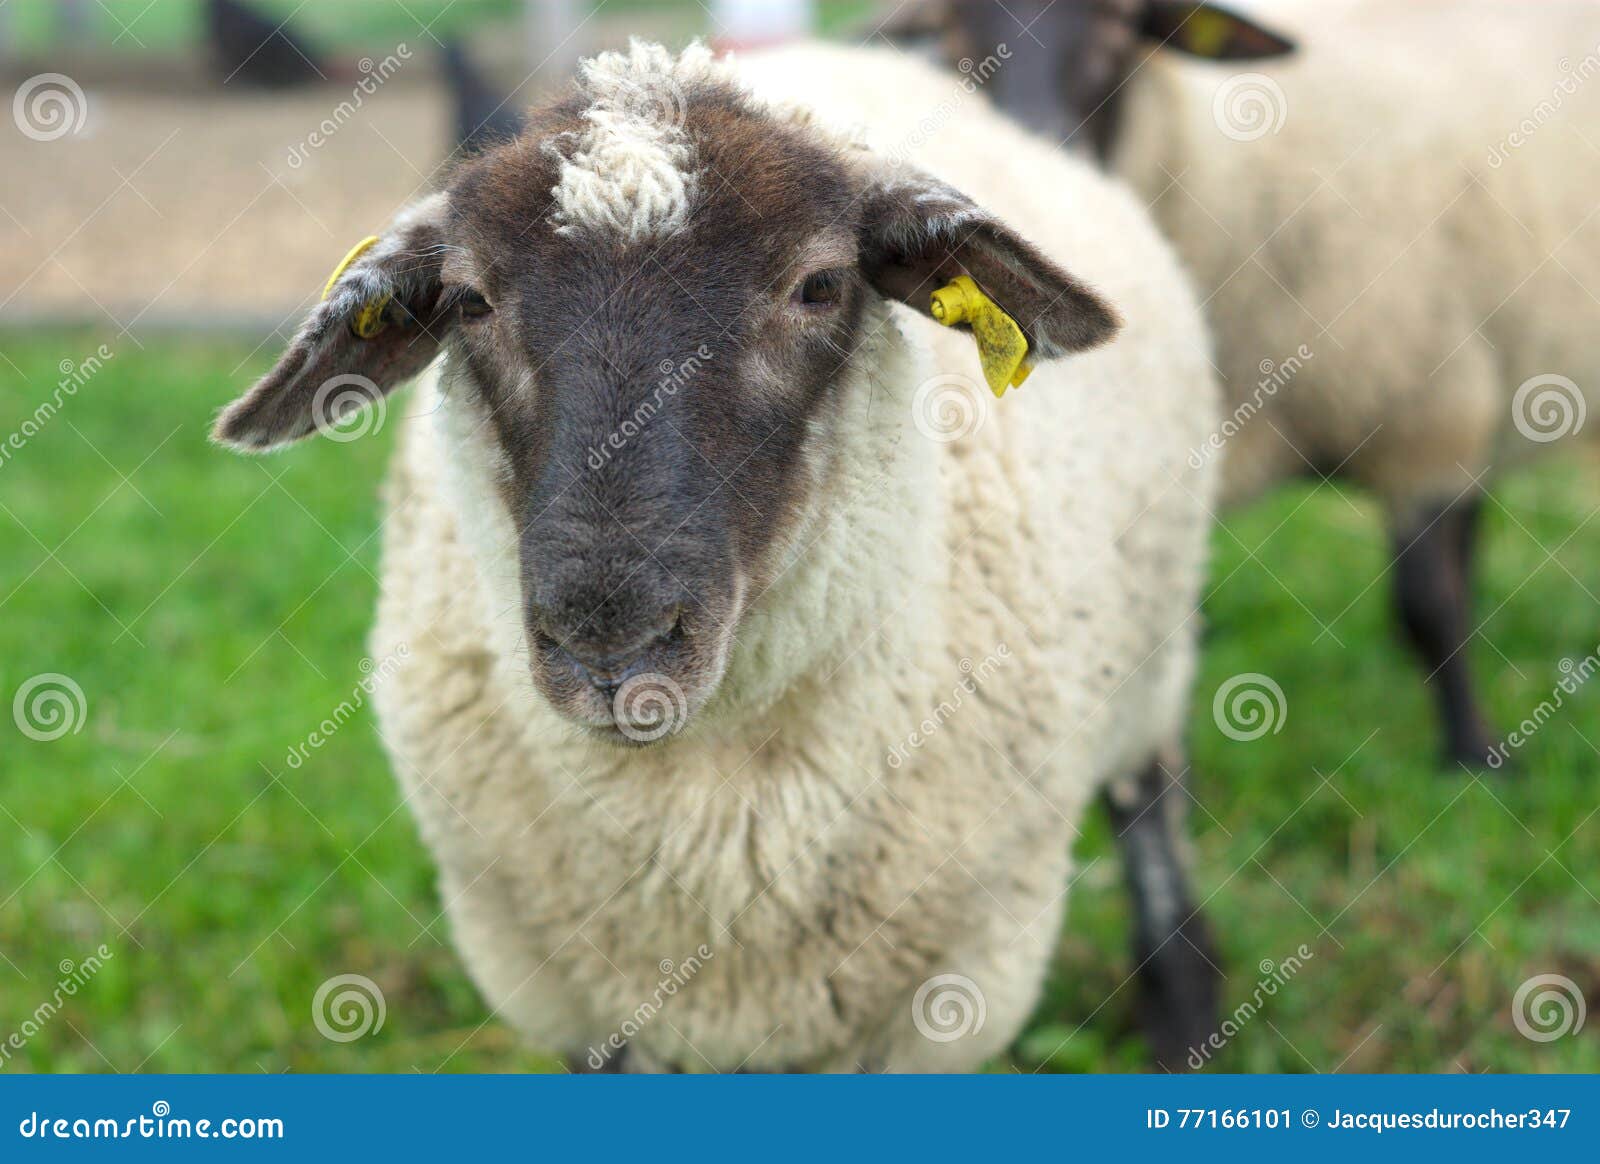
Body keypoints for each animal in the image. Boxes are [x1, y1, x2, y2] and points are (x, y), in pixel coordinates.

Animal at [213, 40, 1221, 1072]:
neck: (716, 821)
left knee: (1147, 802)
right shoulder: (577, 1003)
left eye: (820, 286)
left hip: (1152, 653)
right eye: (469, 300)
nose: (612, 649)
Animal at [901, 0, 1600, 769]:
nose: (1045, 148)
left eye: (1121, 22)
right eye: (950, 26)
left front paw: (1477, 756)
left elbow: (1428, 607)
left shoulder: (1426, 417)